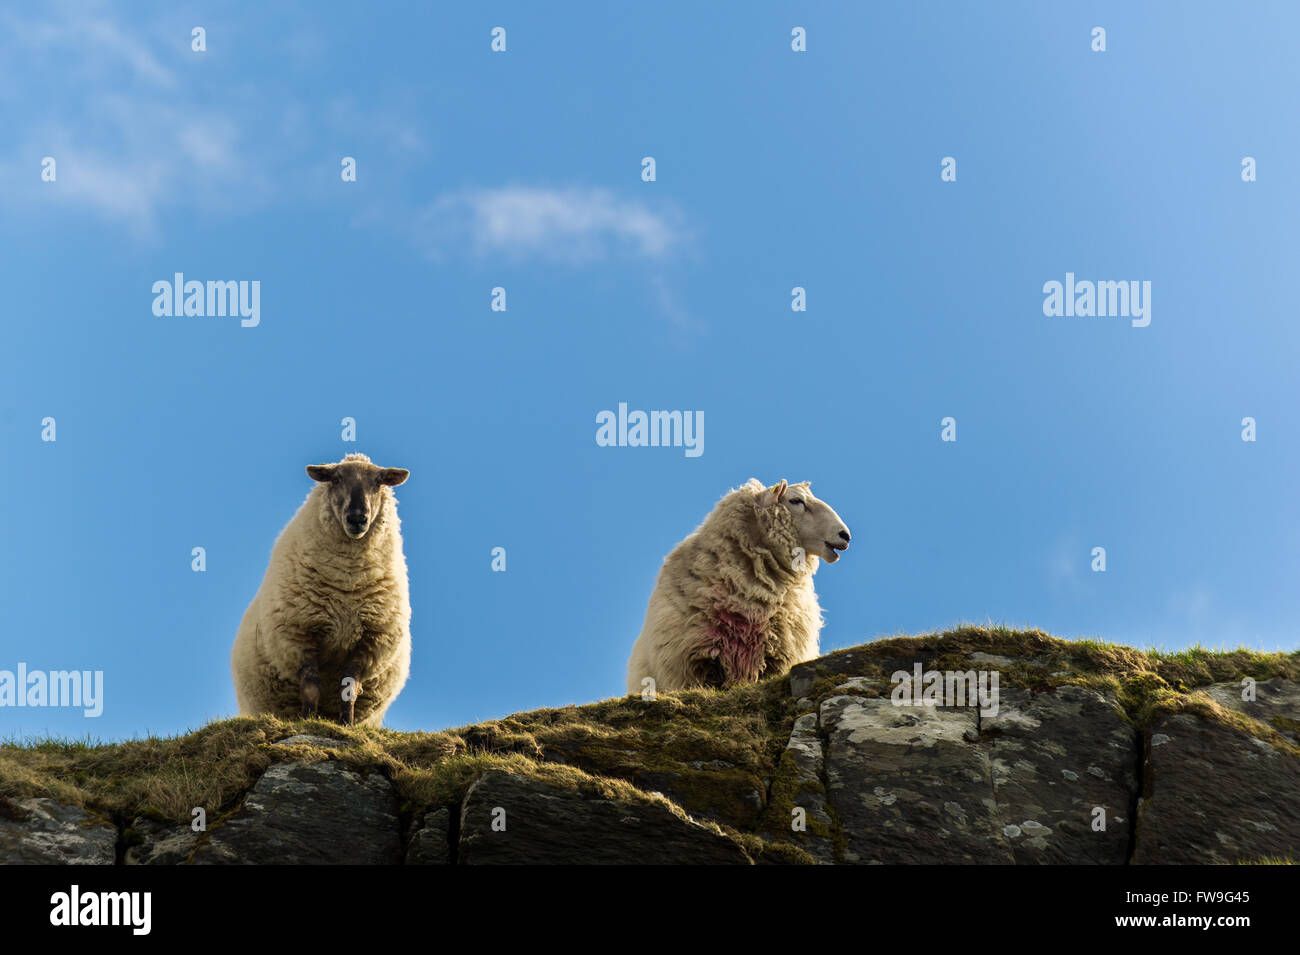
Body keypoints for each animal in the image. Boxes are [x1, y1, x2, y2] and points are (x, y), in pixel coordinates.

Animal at [231, 453, 413, 726]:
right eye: (335, 479)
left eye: (379, 481)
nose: (357, 518)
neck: (348, 583)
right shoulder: (300, 636)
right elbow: (310, 688)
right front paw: (307, 720)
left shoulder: (369, 642)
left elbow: (349, 689)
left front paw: (346, 724)